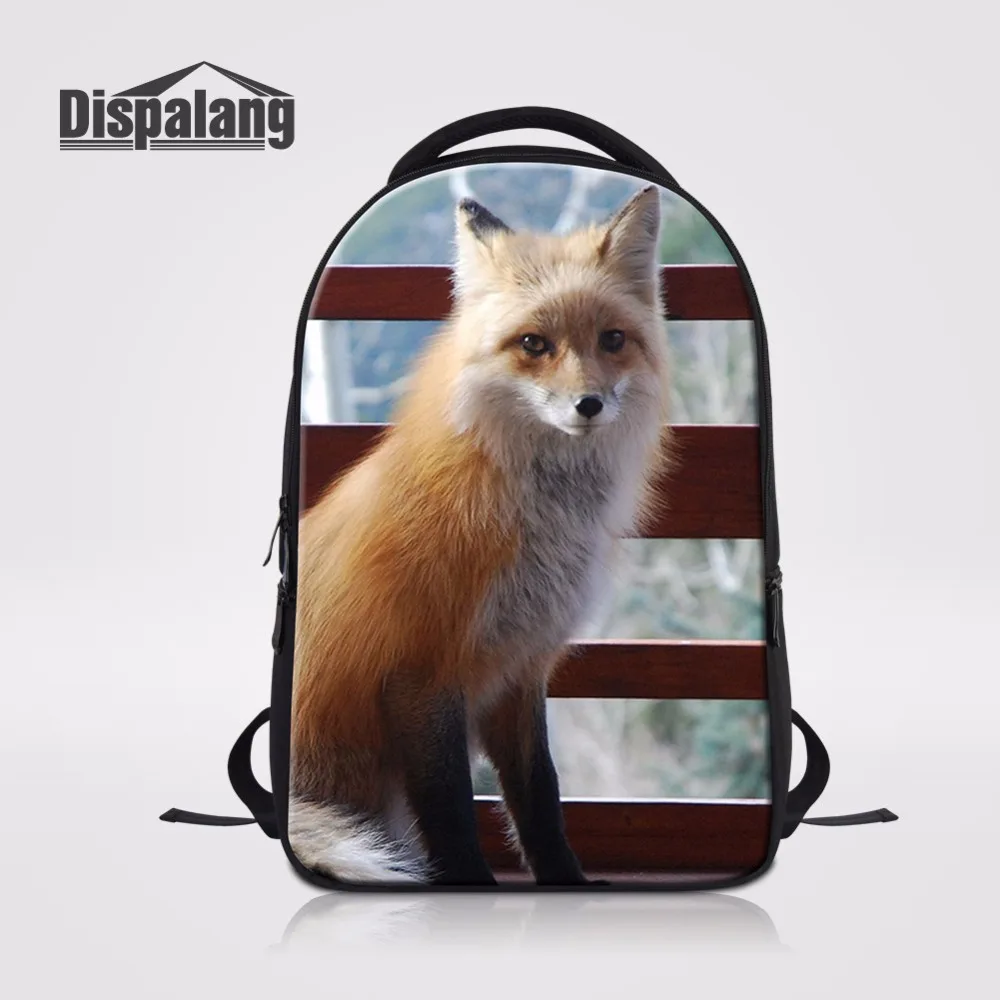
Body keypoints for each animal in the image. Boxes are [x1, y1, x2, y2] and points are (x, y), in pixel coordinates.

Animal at [289, 184, 671, 885]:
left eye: (612, 340)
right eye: (534, 344)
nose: (590, 404)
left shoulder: (522, 666)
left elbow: (539, 794)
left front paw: (566, 883)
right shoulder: (422, 674)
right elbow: (451, 811)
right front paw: (469, 885)